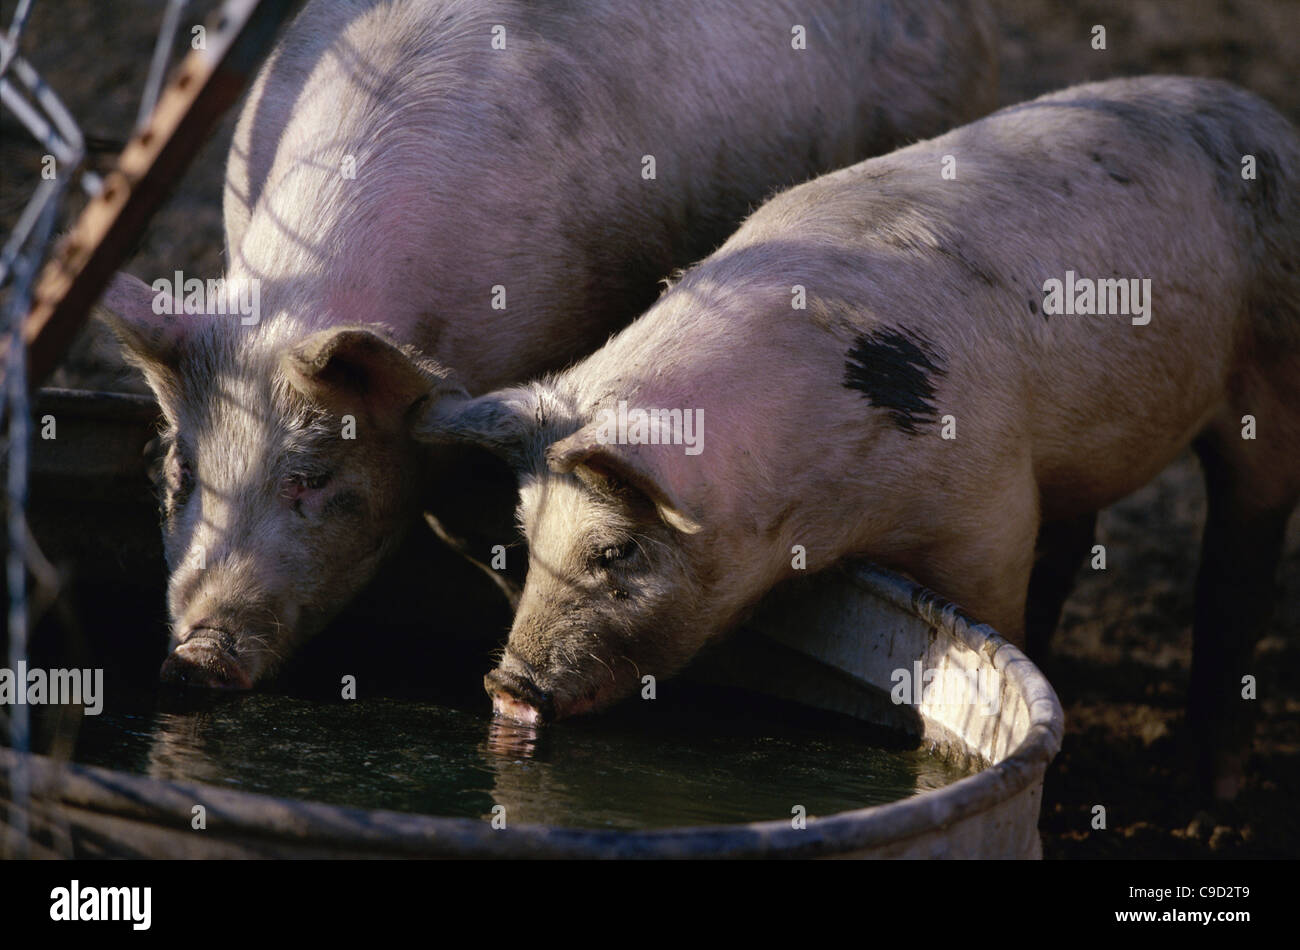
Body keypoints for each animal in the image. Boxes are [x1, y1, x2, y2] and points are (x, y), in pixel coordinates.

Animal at [421, 76, 1300, 800]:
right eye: (526, 537)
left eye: (618, 550)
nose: (507, 685)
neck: (813, 507)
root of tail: (1257, 111)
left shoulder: (991, 507)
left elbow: (995, 624)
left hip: (1270, 374)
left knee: (1238, 562)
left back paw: (1215, 789)